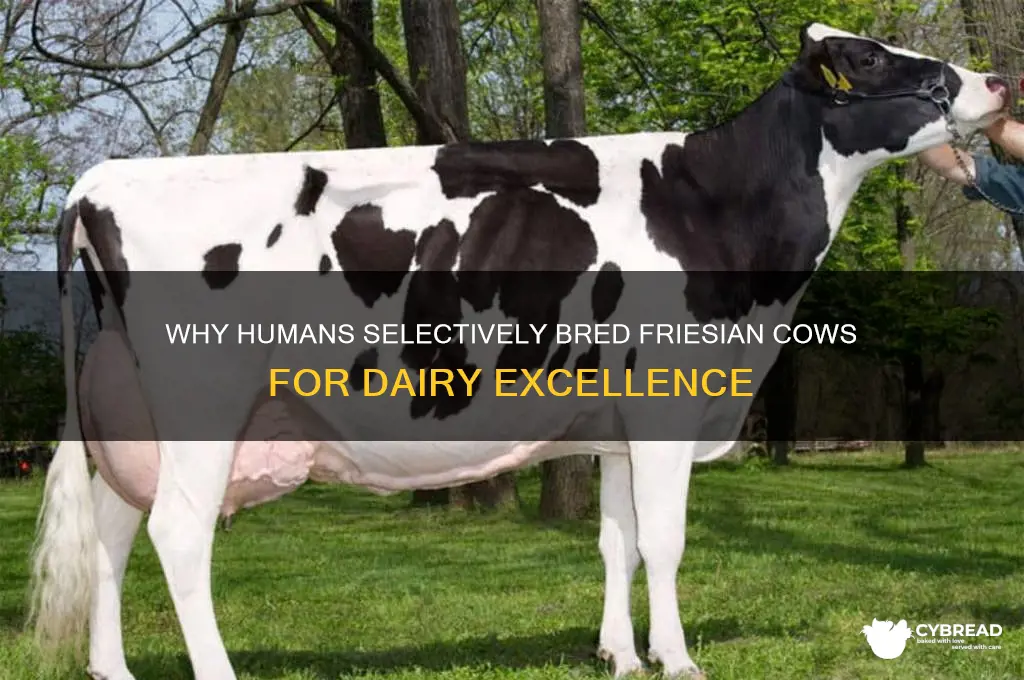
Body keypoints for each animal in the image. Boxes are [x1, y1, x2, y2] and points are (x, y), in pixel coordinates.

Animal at [27, 23, 1010, 680]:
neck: (718, 210)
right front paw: (679, 659)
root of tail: (106, 177)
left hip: (132, 413)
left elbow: (618, 540)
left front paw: (621, 655)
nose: (999, 81)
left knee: (114, 530)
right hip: (201, 406)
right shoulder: (666, 405)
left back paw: (113, 670)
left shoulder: (613, 421)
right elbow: (666, 539)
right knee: (177, 533)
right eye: (875, 58)